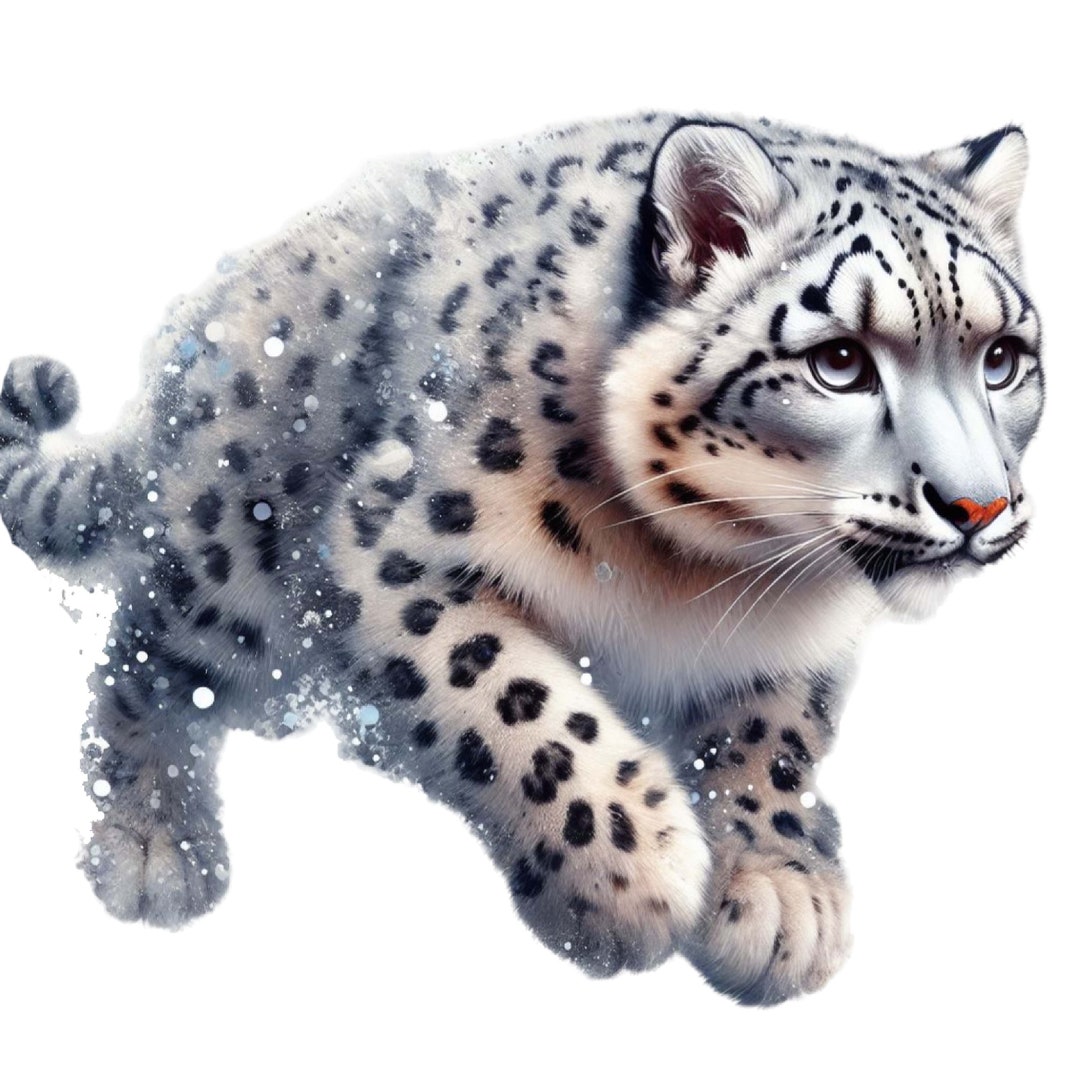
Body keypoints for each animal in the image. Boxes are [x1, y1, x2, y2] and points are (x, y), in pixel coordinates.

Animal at [0, 112, 1042, 1005]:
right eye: (839, 362)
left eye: (1003, 358)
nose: (979, 506)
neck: (707, 575)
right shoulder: (390, 554)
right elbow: (511, 701)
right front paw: (631, 876)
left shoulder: (789, 646)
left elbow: (773, 737)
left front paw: (782, 893)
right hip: (230, 561)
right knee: (147, 656)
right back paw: (154, 848)